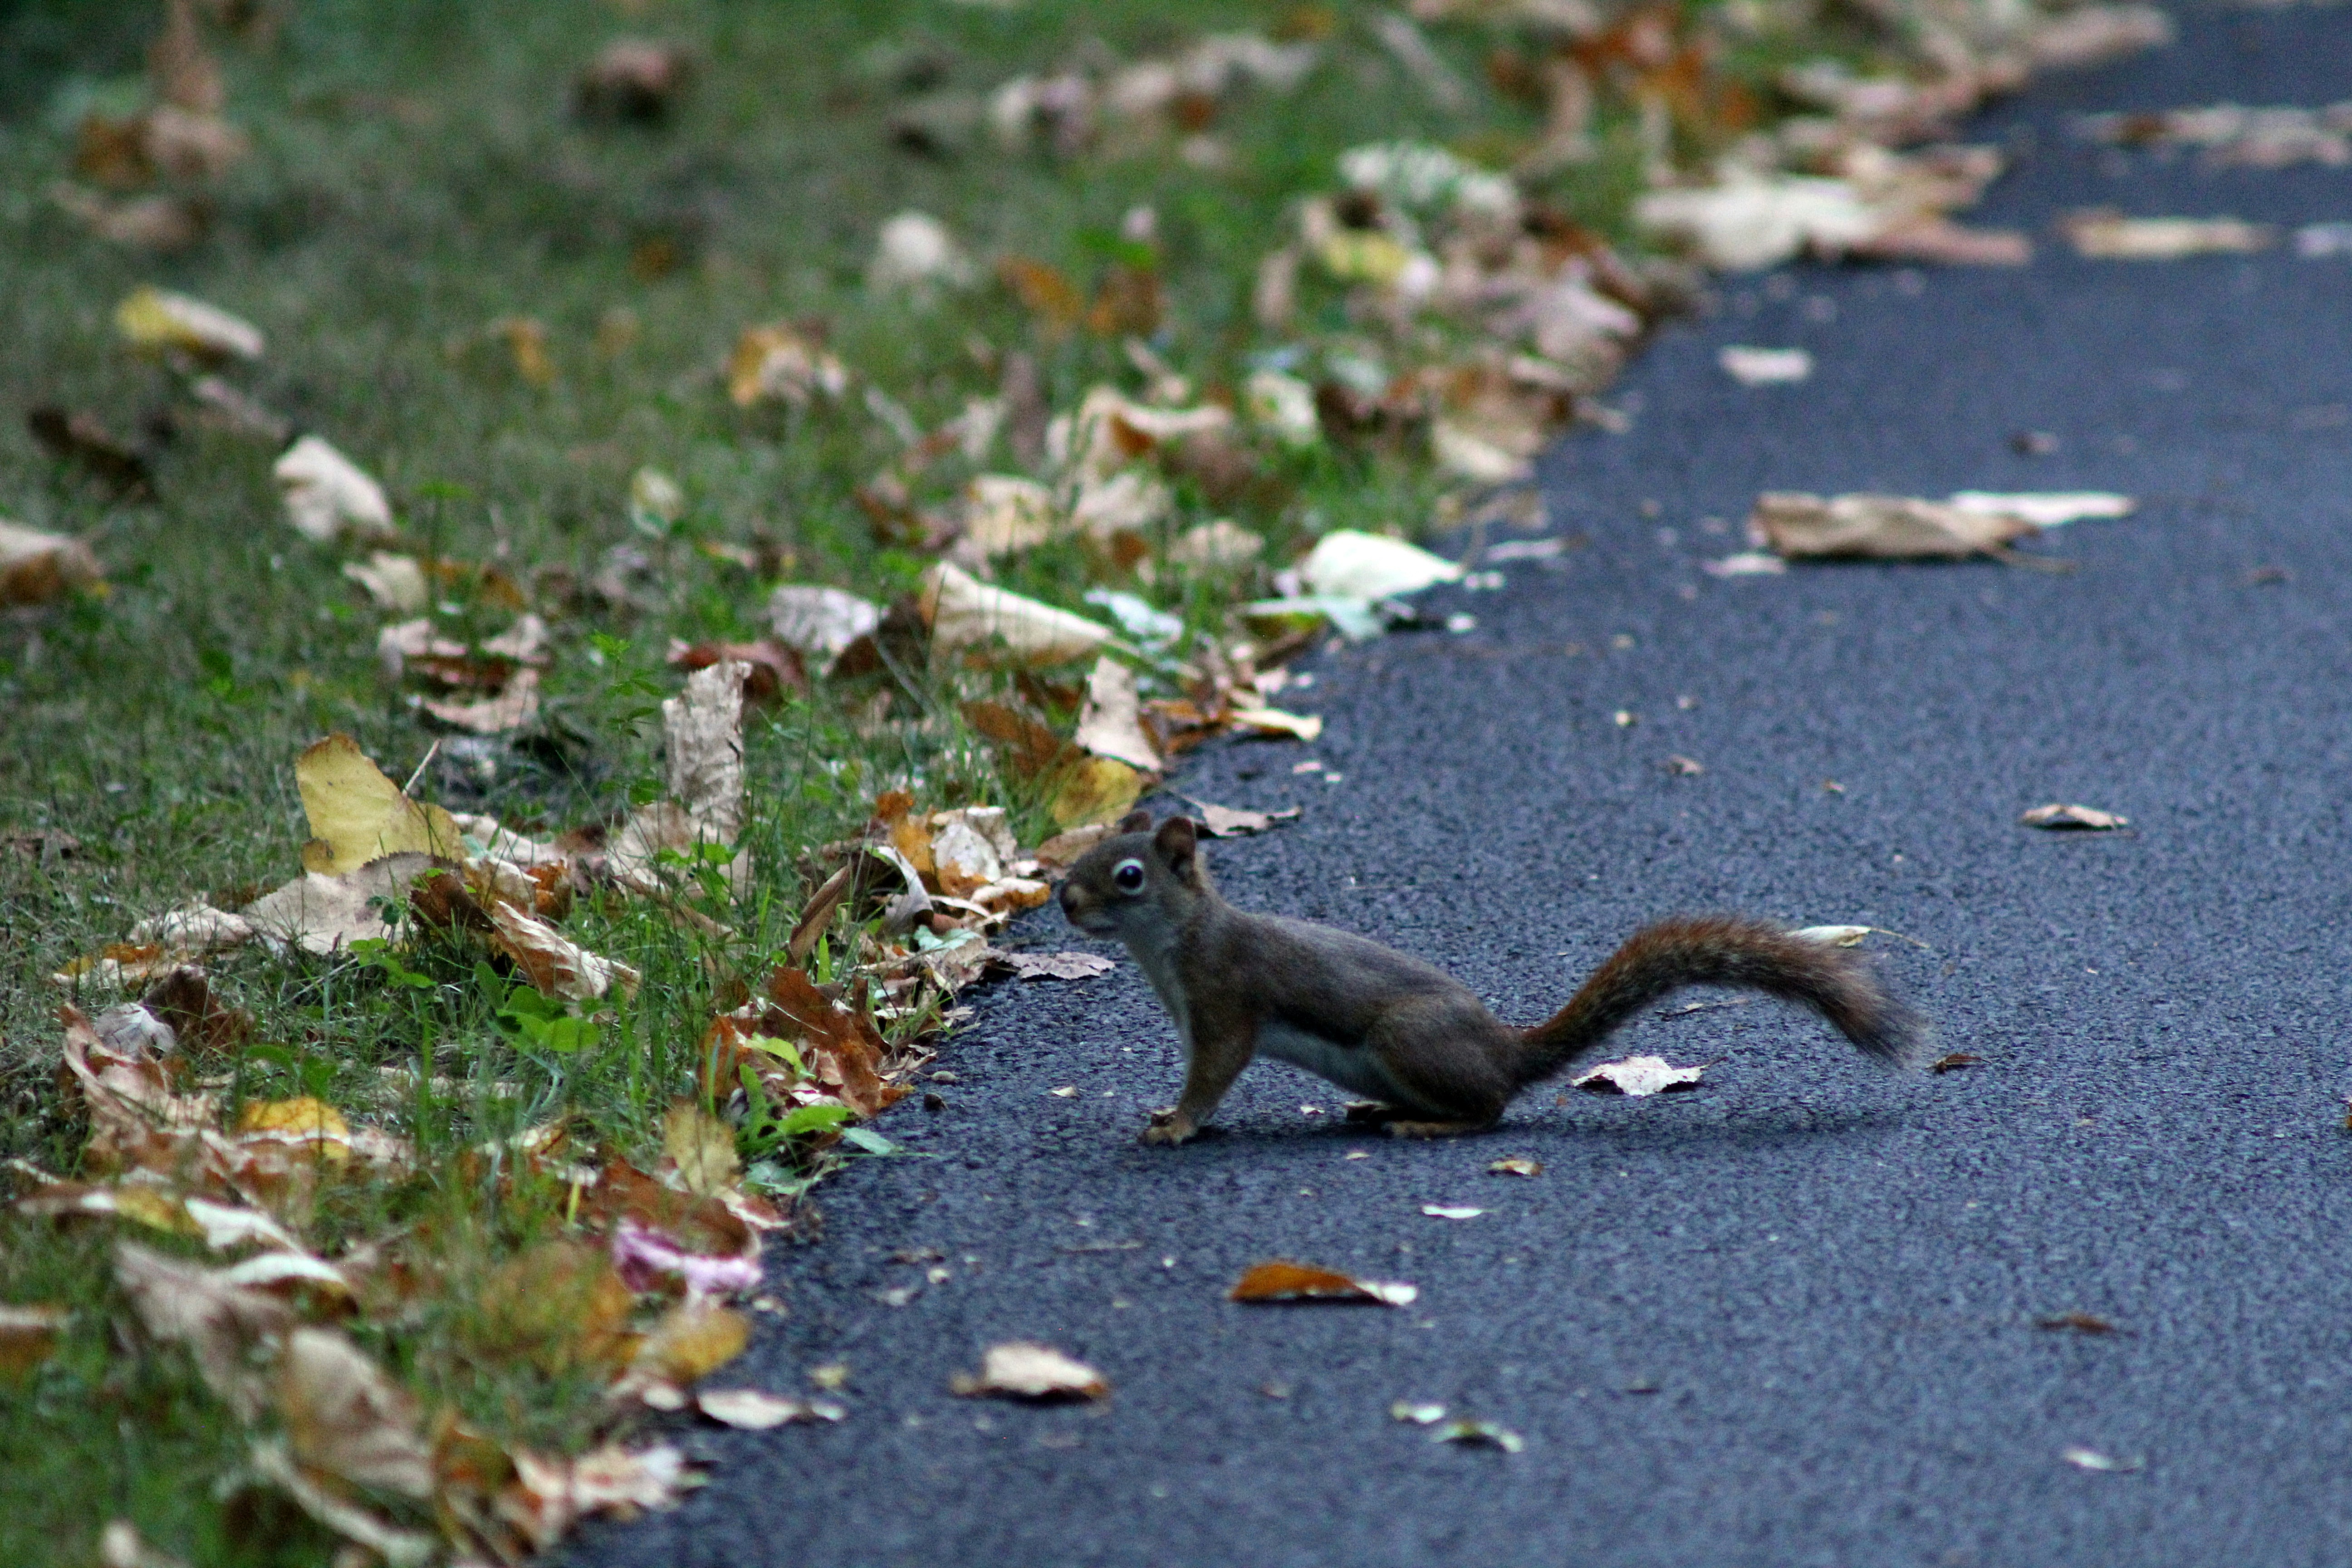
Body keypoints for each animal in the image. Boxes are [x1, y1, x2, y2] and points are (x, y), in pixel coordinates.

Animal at [1057, 811, 1930, 1145]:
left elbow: (1214, 1075)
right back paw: (1385, 1110)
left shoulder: (1226, 1001)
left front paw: (1176, 1125)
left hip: (1405, 1038)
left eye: (1129, 877)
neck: (1172, 946)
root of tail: (1505, 1052)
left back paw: (1424, 1124)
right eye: (1088, 848)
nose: (1063, 898)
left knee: (1487, 1112)